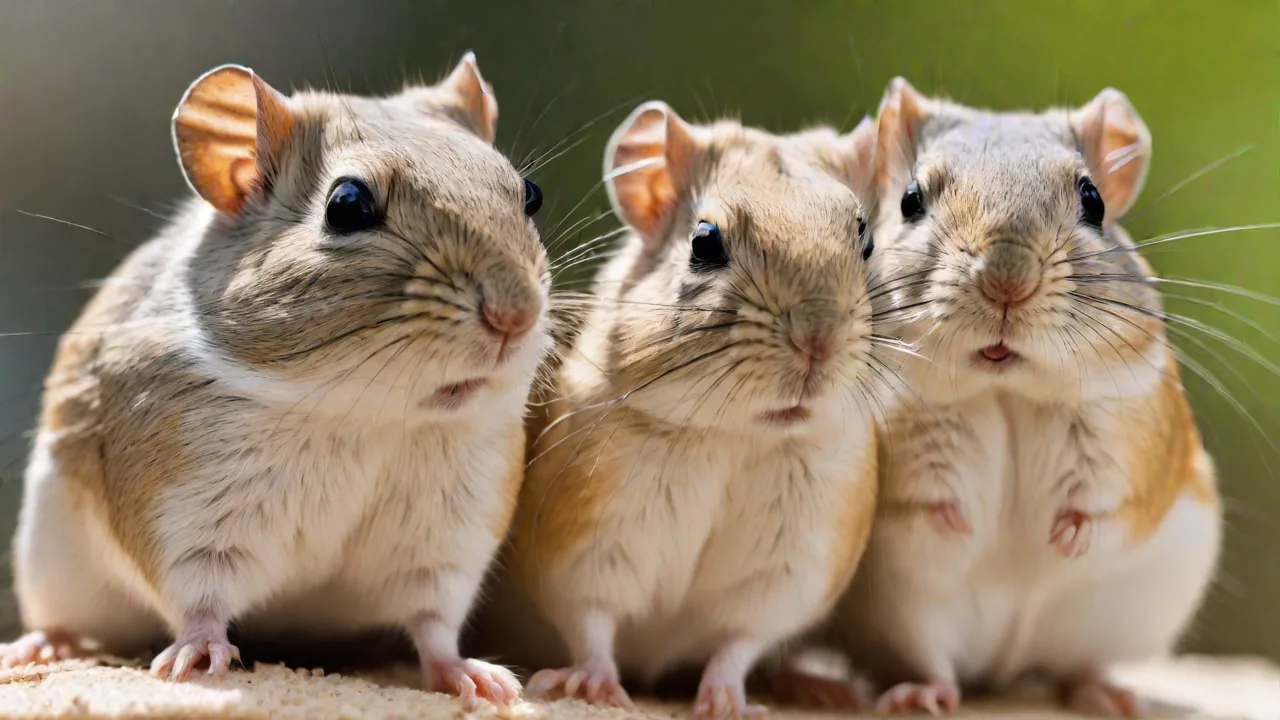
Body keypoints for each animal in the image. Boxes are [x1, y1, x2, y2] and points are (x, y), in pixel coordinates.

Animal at [1, 53, 553, 708]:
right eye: (347, 205)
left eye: (530, 195)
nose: (515, 317)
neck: (370, 414)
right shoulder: (187, 520)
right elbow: (202, 600)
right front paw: (195, 659)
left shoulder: (449, 540)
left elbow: (435, 623)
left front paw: (481, 679)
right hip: (49, 561)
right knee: (62, 617)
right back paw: (37, 646)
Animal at [493, 102, 887, 720]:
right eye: (705, 242)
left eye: (865, 237)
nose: (818, 340)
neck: (735, 433)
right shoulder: (582, 548)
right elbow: (592, 625)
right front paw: (593, 686)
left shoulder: (786, 577)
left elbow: (738, 645)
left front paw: (730, 702)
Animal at [821, 79, 1222, 716]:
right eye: (911, 200)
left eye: (1092, 200)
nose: (1006, 279)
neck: (1005, 387)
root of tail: (1004, 666)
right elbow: (918, 502)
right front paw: (957, 524)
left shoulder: (1133, 437)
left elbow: (1106, 508)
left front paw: (1062, 537)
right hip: (912, 622)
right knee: (935, 665)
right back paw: (921, 694)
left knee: (1072, 665)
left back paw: (1104, 693)